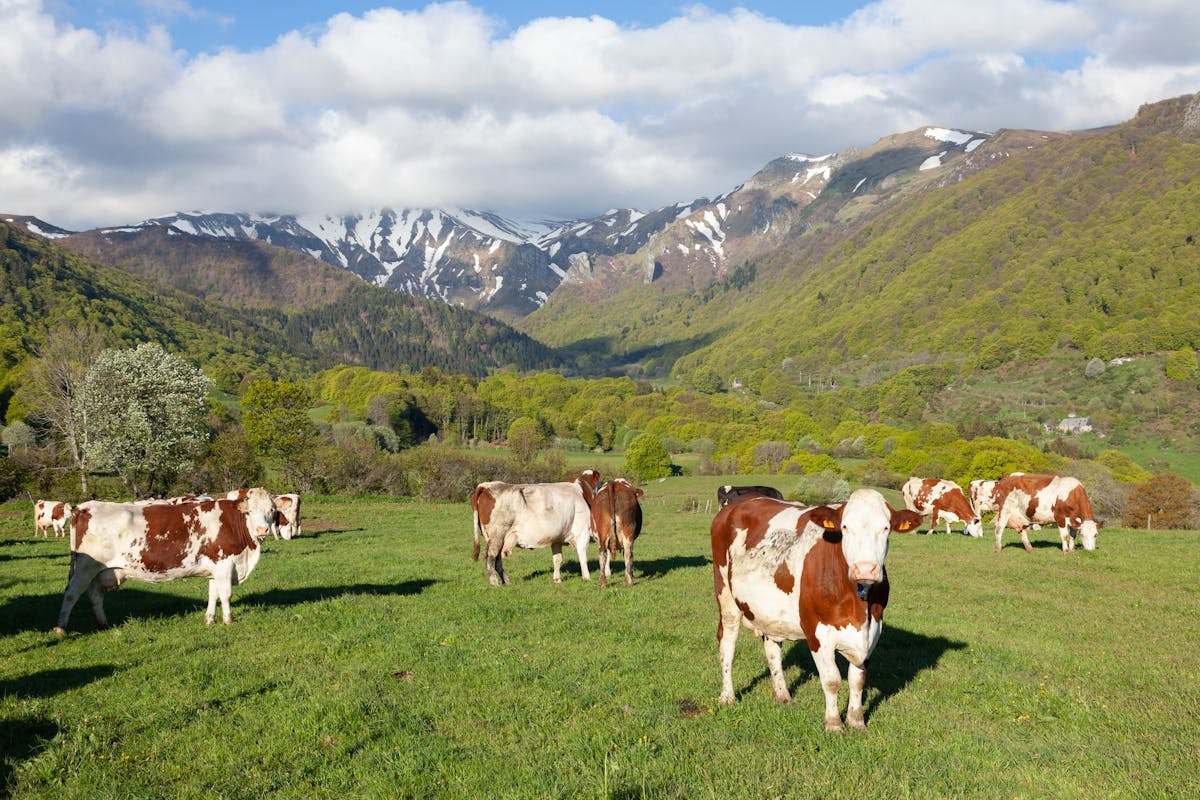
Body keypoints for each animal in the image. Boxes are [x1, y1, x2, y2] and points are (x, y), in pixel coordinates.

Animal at [52, 488, 278, 634]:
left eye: (271, 510)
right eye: (250, 511)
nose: (262, 529)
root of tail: (85, 507)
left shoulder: (215, 568)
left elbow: (213, 594)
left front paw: (209, 619)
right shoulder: (224, 563)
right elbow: (226, 594)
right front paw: (228, 621)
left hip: (99, 571)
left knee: (95, 596)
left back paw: (103, 624)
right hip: (85, 568)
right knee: (71, 594)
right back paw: (61, 629)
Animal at [471, 470, 600, 586]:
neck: (581, 492)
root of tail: (486, 486)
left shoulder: (556, 538)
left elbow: (557, 558)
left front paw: (557, 579)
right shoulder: (582, 532)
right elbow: (582, 555)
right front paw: (586, 577)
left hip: (497, 538)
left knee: (497, 559)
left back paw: (506, 581)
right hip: (497, 535)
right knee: (490, 556)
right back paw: (494, 582)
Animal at [711, 490, 921, 732]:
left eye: (886, 527)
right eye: (845, 527)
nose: (865, 569)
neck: (858, 604)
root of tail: (738, 502)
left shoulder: (873, 629)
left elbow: (857, 679)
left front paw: (856, 721)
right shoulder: (816, 631)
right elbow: (831, 680)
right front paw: (834, 724)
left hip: (768, 613)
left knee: (772, 649)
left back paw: (782, 695)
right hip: (725, 595)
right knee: (727, 644)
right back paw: (727, 696)